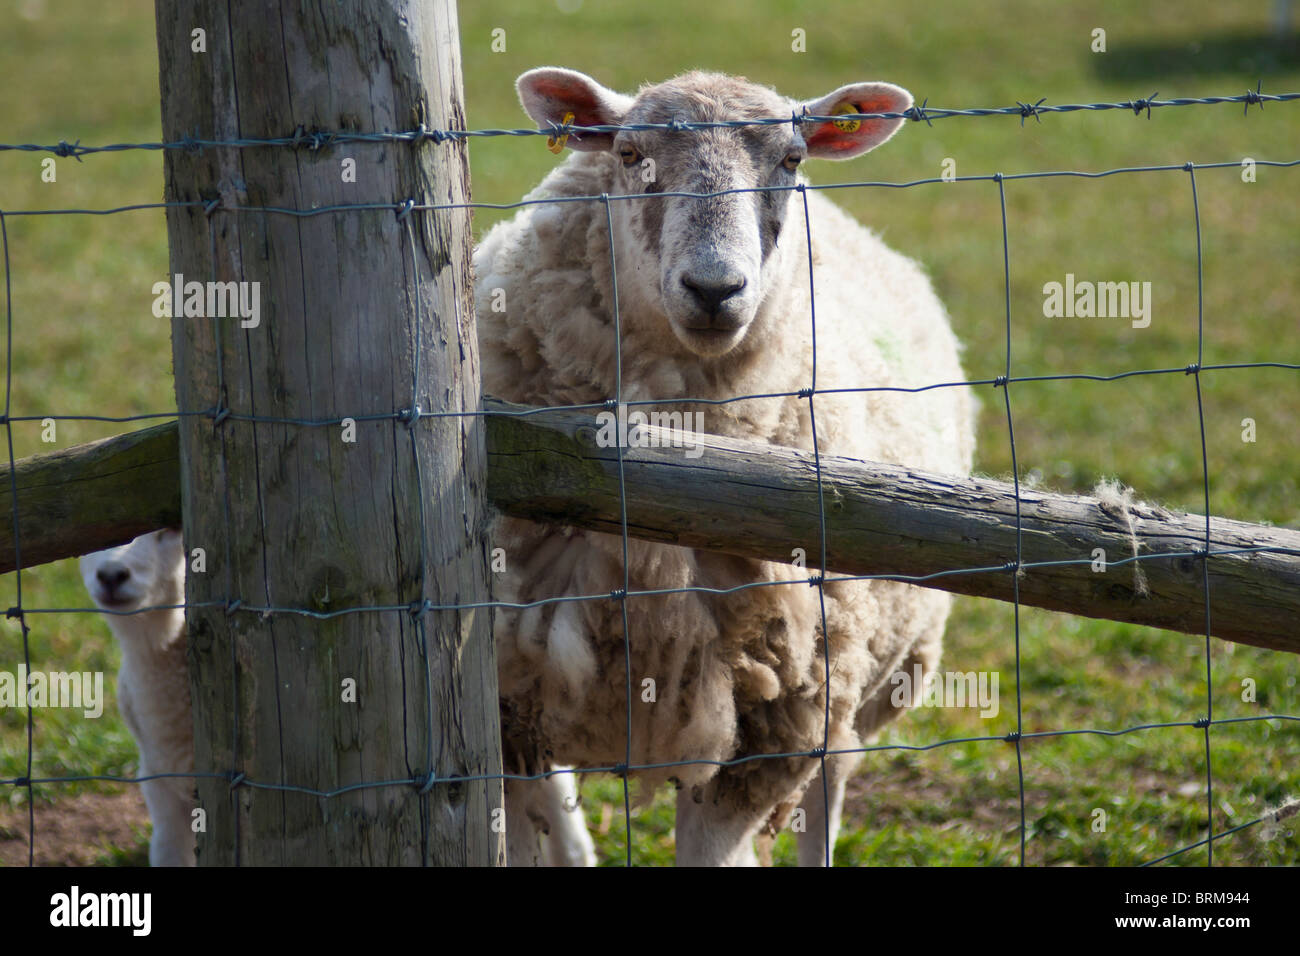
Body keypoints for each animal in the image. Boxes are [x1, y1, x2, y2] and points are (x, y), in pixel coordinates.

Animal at [475, 68, 976, 866]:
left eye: (793, 159)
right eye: (628, 152)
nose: (715, 290)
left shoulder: (774, 722)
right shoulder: (508, 700)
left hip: (863, 676)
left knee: (830, 794)